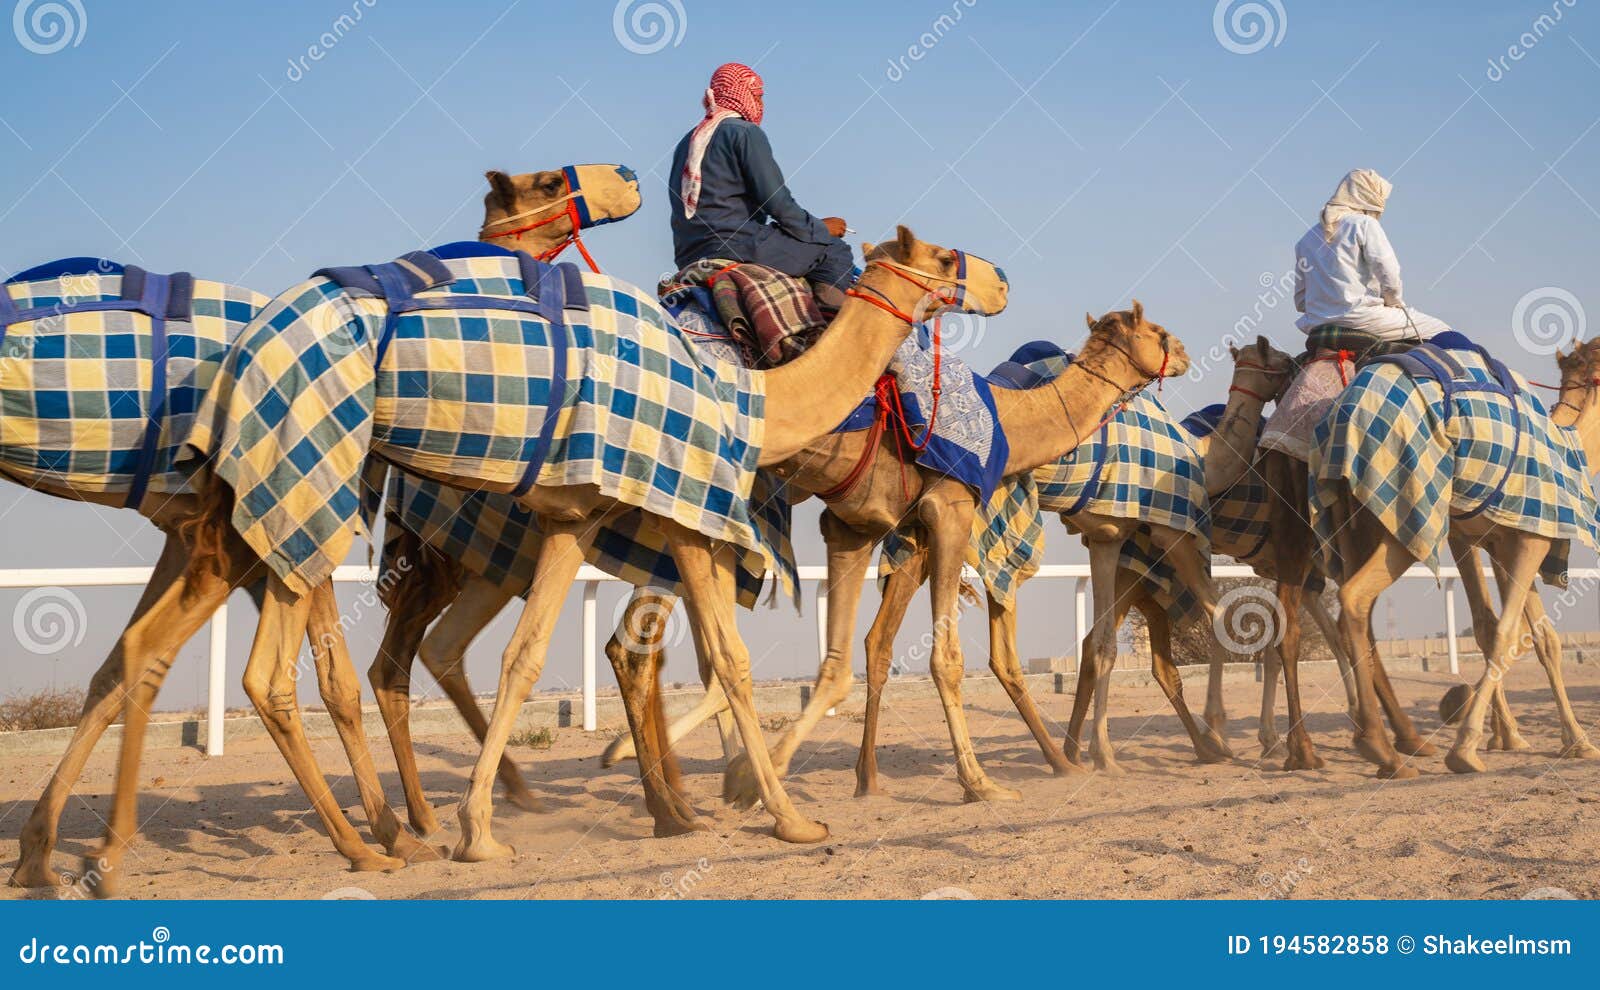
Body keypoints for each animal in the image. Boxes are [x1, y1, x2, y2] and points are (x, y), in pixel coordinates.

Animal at [87, 223, 1009, 891]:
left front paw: (480, 831)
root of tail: (249, 339)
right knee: (274, 660)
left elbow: (529, 658)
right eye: (942, 255)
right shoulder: (686, 514)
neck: (746, 401)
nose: (999, 279)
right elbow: (731, 662)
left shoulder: (581, 513)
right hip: (308, 473)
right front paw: (788, 817)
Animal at [1315, 339, 1600, 779]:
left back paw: (1381, 745)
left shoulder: (1484, 539)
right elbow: (1508, 634)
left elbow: (1517, 633)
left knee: (1350, 610)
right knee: (1354, 597)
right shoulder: (1531, 534)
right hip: (1409, 508)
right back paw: (1380, 747)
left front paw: (1563, 740)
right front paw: (1468, 746)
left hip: (1354, 521)